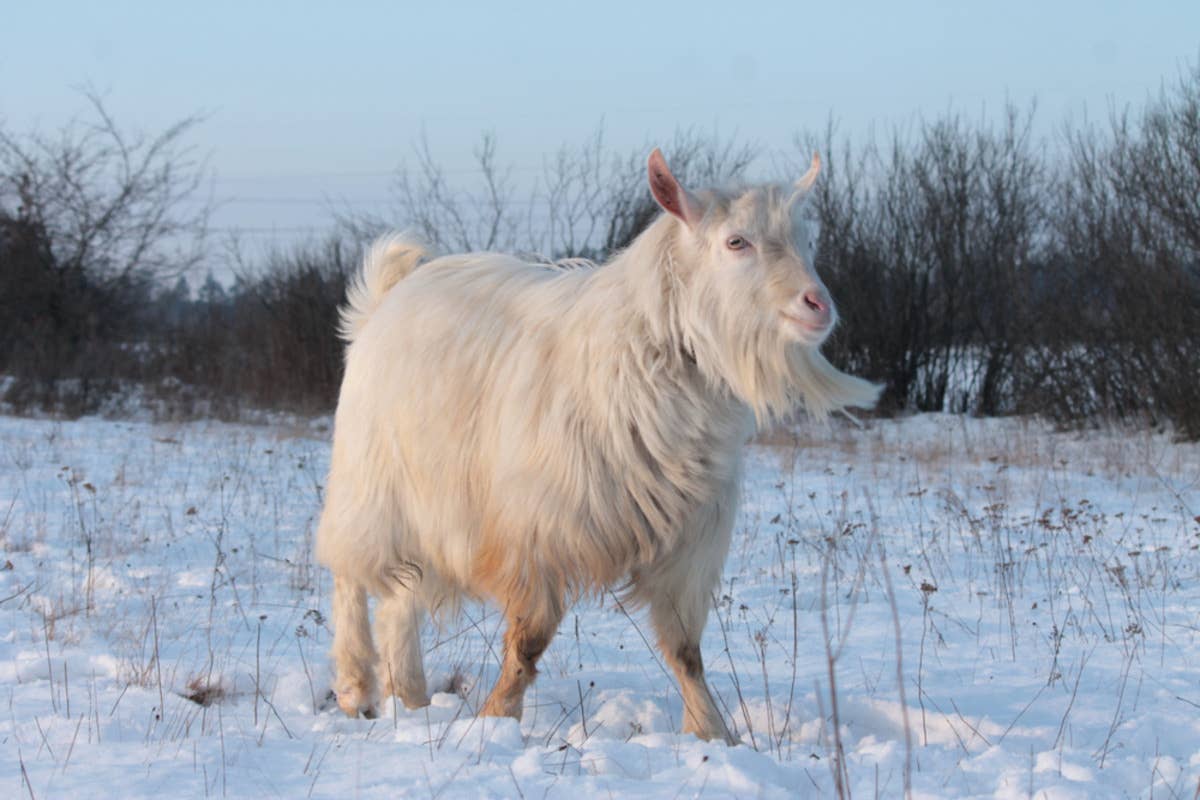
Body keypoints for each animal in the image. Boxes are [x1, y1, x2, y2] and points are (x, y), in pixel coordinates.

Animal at [315, 148, 879, 743]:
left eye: (808, 241)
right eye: (736, 241)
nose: (818, 305)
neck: (644, 347)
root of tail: (383, 303)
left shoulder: (690, 542)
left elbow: (685, 649)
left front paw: (713, 734)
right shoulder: (535, 535)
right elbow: (529, 641)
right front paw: (496, 719)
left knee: (400, 600)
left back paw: (414, 700)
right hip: (371, 484)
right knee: (349, 574)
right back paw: (356, 688)